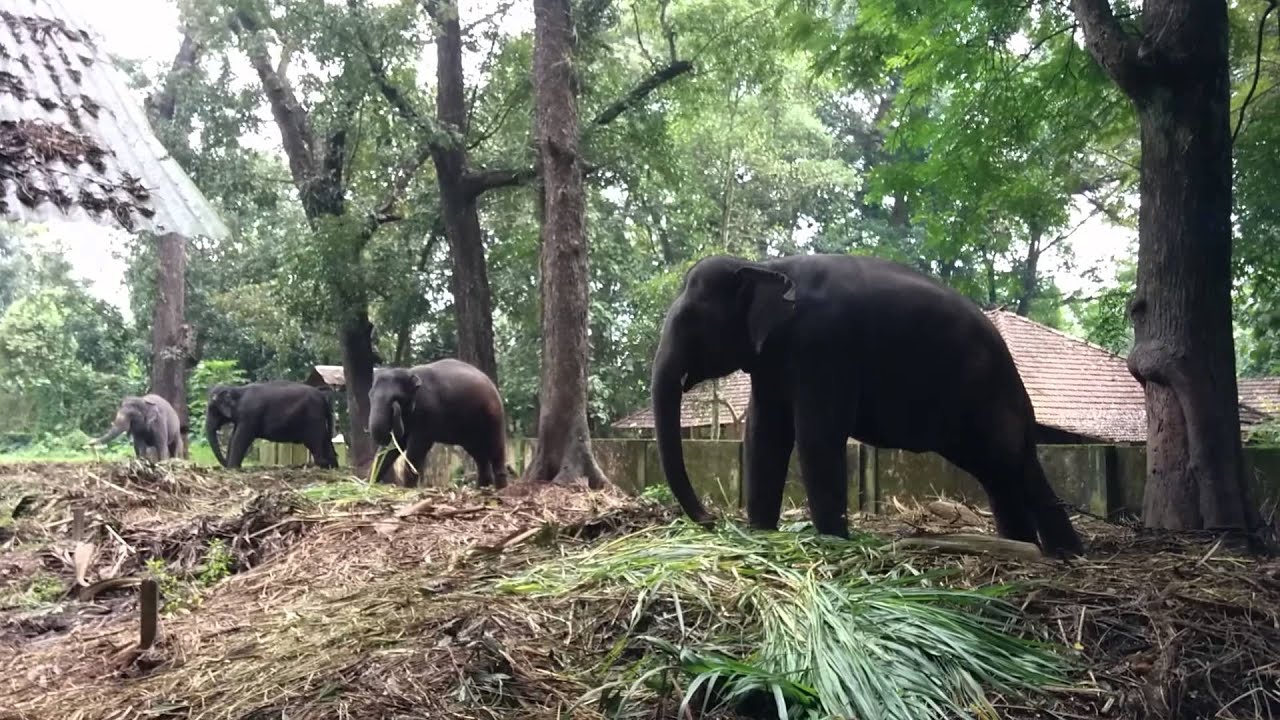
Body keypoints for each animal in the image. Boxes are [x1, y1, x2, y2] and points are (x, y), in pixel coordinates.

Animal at [206, 380, 338, 469]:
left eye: (212, 409)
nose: (224, 464)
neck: (237, 390)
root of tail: (323, 398)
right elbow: (233, 438)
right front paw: (233, 467)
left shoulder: (250, 415)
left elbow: (240, 438)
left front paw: (232, 468)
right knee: (326, 439)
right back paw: (332, 466)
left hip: (313, 417)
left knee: (315, 440)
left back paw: (321, 464)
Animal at [368, 358, 508, 489]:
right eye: (370, 396)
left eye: (397, 398)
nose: (395, 408)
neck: (409, 372)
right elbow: (392, 447)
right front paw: (368, 484)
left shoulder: (426, 412)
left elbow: (416, 448)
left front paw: (408, 489)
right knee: (478, 454)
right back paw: (482, 488)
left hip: (494, 416)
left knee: (496, 447)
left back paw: (500, 489)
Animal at [650, 253, 1084, 559]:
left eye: (690, 319)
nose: (711, 520)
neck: (766, 266)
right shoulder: (770, 361)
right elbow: (764, 434)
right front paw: (761, 536)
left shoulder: (826, 346)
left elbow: (817, 437)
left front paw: (832, 542)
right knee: (999, 474)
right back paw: (1022, 546)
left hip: (991, 398)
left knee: (1014, 464)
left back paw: (1065, 554)